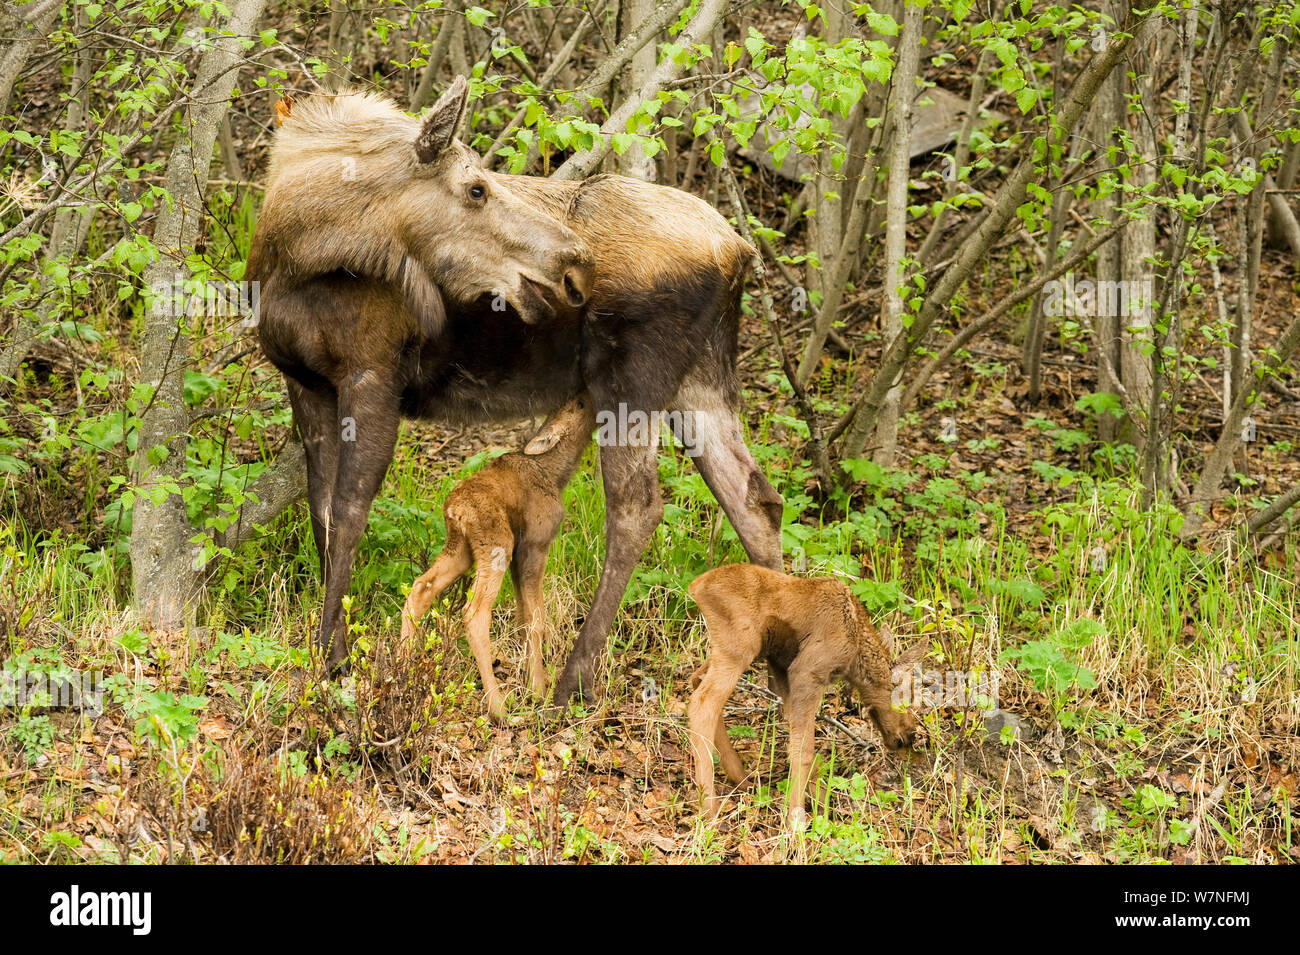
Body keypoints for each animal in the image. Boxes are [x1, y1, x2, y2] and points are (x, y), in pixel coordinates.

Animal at [400, 393, 596, 722]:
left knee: (420, 587)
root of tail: (456, 512)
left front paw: (532, 685)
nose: (590, 395)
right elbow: (537, 619)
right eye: (578, 405)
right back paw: (499, 708)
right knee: (474, 612)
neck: (557, 473)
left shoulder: (519, 556)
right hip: (496, 546)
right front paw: (538, 692)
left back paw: (399, 670)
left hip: (461, 550)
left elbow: (524, 617)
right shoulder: (535, 544)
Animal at [686, 563, 925, 828]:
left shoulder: (783, 672)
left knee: (696, 682)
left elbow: (800, 744)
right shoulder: (807, 671)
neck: (854, 658)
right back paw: (709, 808)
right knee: (703, 703)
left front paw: (823, 806)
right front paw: (796, 821)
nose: (910, 735)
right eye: (908, 697)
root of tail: (696, 587)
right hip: (740, 647)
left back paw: (741, 778)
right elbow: (804, 751)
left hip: (726, 650)